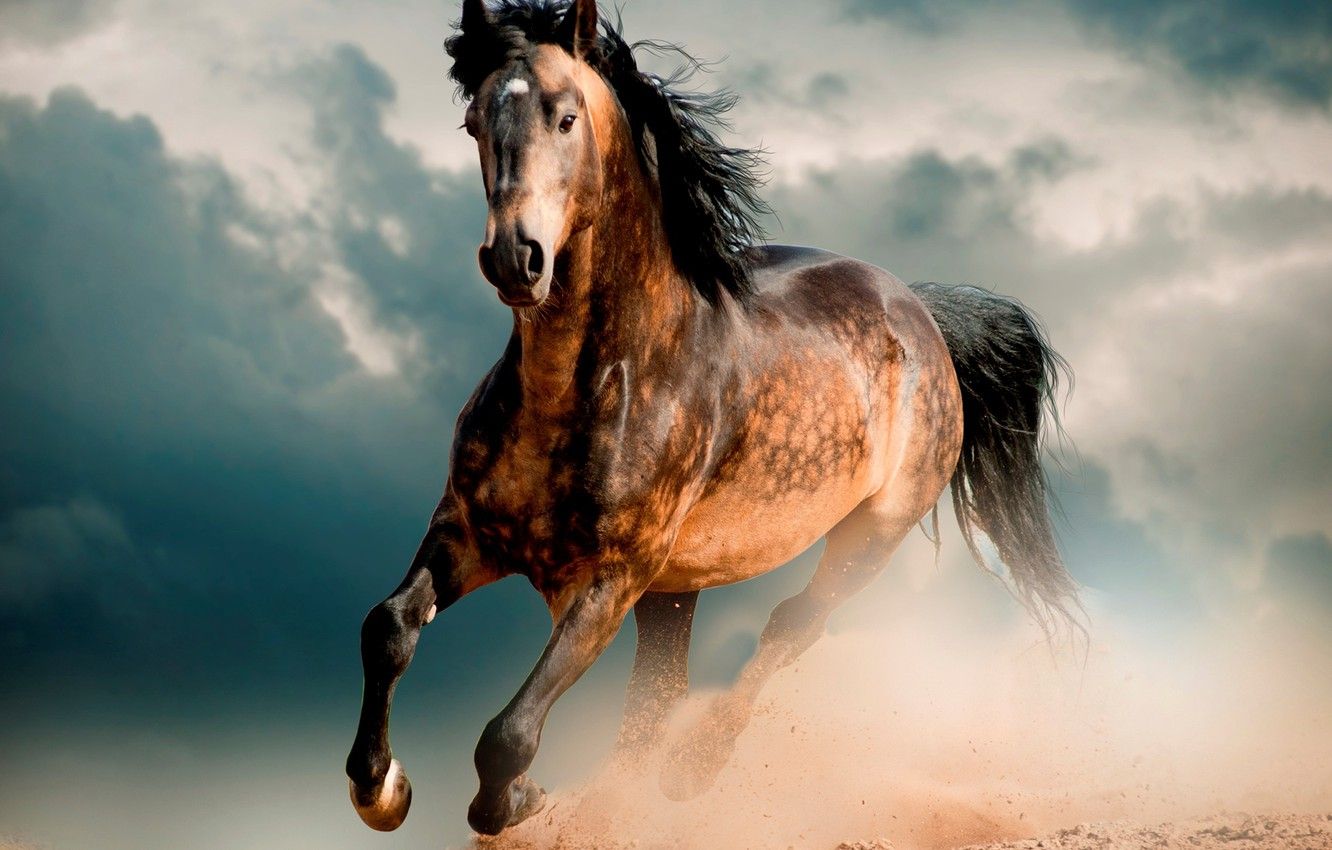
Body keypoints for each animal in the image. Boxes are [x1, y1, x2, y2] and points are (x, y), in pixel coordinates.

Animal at [345, 0, 1080, 836]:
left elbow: (509, 733)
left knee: (790, 626)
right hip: (678, 588)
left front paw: (518, 799)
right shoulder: (468, 532)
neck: (586, 388)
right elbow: (388, 627)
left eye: (566, 117)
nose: (515, 260)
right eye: (472, 121)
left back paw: (691, 771)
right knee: (659, 692)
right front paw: (382, 788)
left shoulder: (610, 580)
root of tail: (921, 311)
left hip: (869, 536)